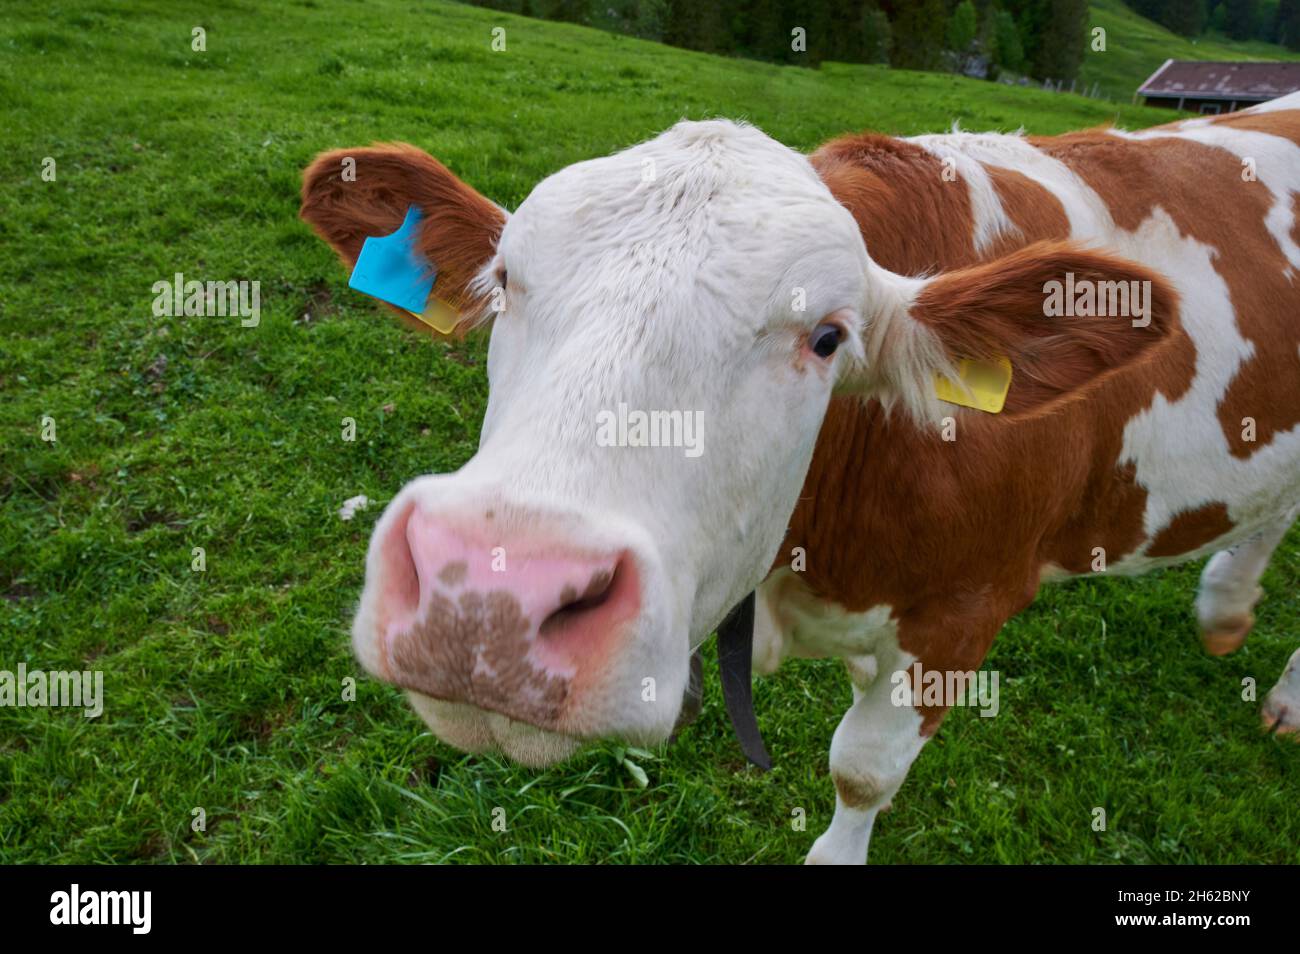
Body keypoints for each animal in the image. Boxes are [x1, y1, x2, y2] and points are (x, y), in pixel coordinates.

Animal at [300, 95, 1300, 864]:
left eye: (827, 338)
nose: (492, 596)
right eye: (506, 280)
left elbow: (861, 769)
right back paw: (1227, 610)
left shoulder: (963, 611)